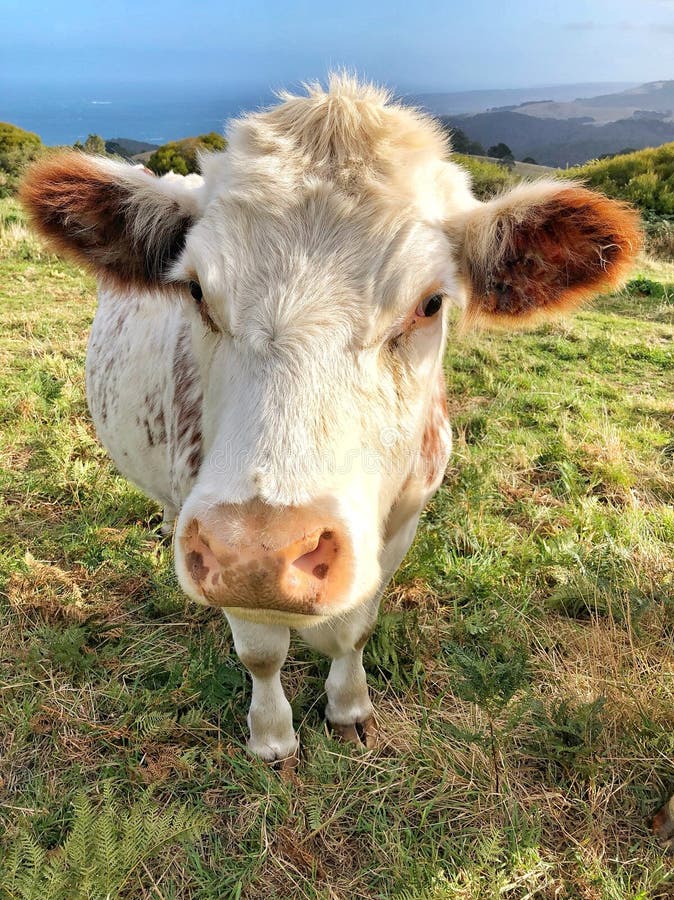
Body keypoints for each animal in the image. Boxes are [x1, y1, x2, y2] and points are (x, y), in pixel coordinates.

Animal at [21, 77, 644, 780]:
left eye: (431, 303)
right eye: (197, 292)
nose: (261, 552)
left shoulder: (401, 521)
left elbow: (355, 629)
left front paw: (349, 709)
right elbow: (262, 652)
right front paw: (272, 738)